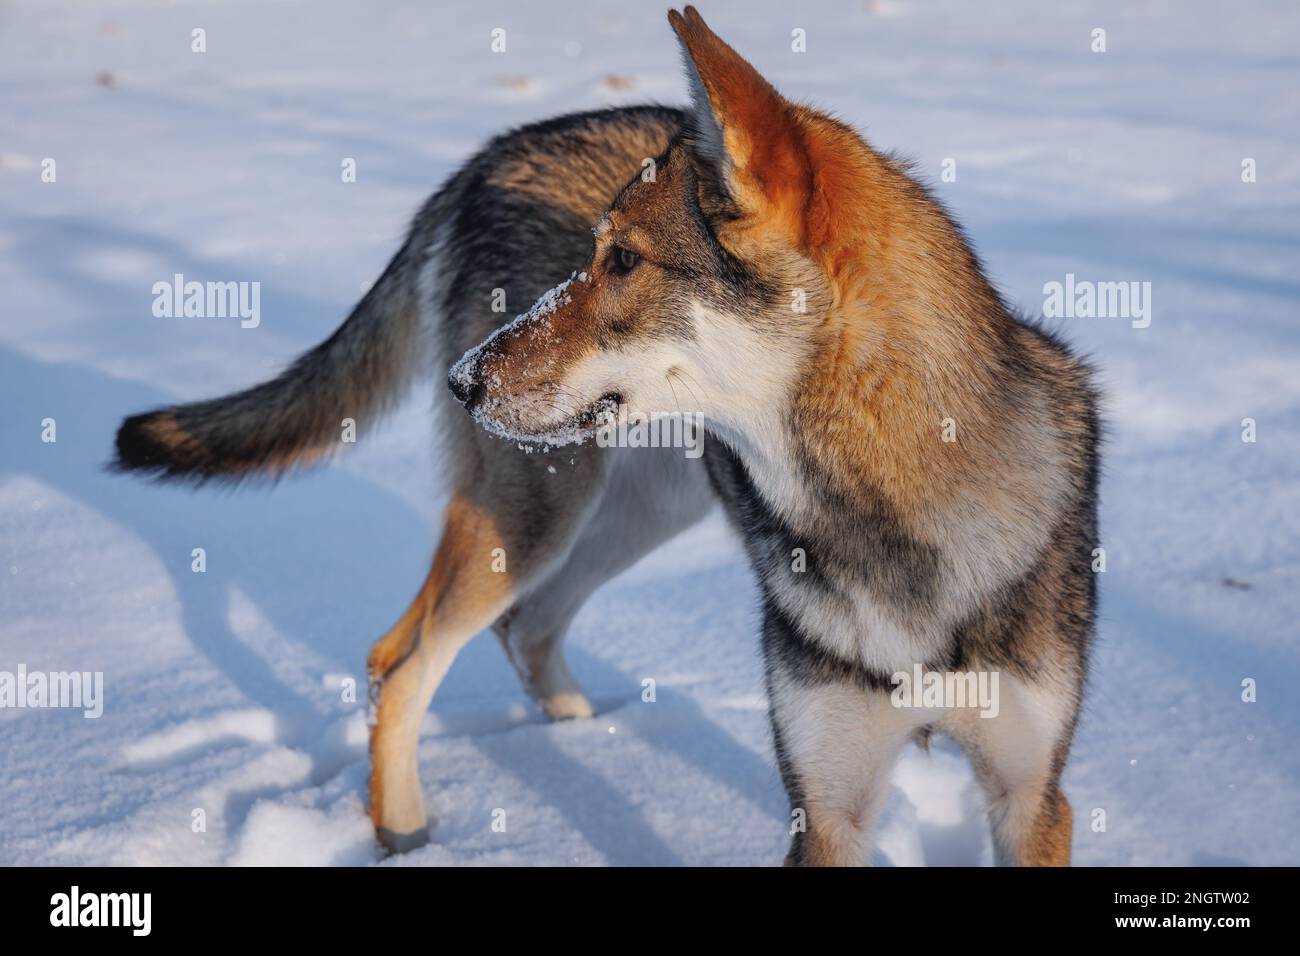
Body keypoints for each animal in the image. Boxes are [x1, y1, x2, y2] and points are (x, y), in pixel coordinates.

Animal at [114, 7, 1099, 865]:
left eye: (622, 260)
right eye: (592, 256)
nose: (461, 382)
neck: (888, 520)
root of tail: (488, 154)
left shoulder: (1031, 798)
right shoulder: (826, 807)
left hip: (631, 513)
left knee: (526, 629)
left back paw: (589, 742)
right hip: (538, 517)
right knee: (403, 659)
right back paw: (408, 835)